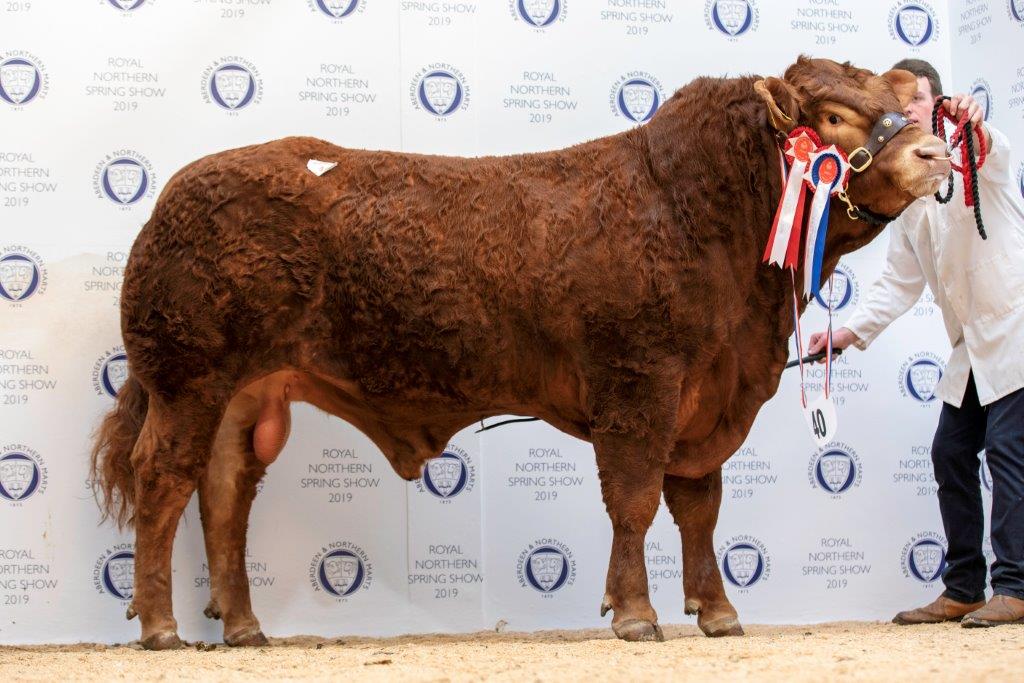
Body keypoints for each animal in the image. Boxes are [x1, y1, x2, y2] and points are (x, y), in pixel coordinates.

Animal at [90, 56, 950, 650]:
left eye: (891, 102)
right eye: (833, 114)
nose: (937, 156)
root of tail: (176, 193)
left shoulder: (707, 397)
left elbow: (700, 507)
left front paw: (717, 612)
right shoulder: (640, 384)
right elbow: (635, 500)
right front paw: (635, 613)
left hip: (247, 394)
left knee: (224, 495)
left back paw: (243, 627)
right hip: (189, 380)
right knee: (163, 481)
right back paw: (161, 625)